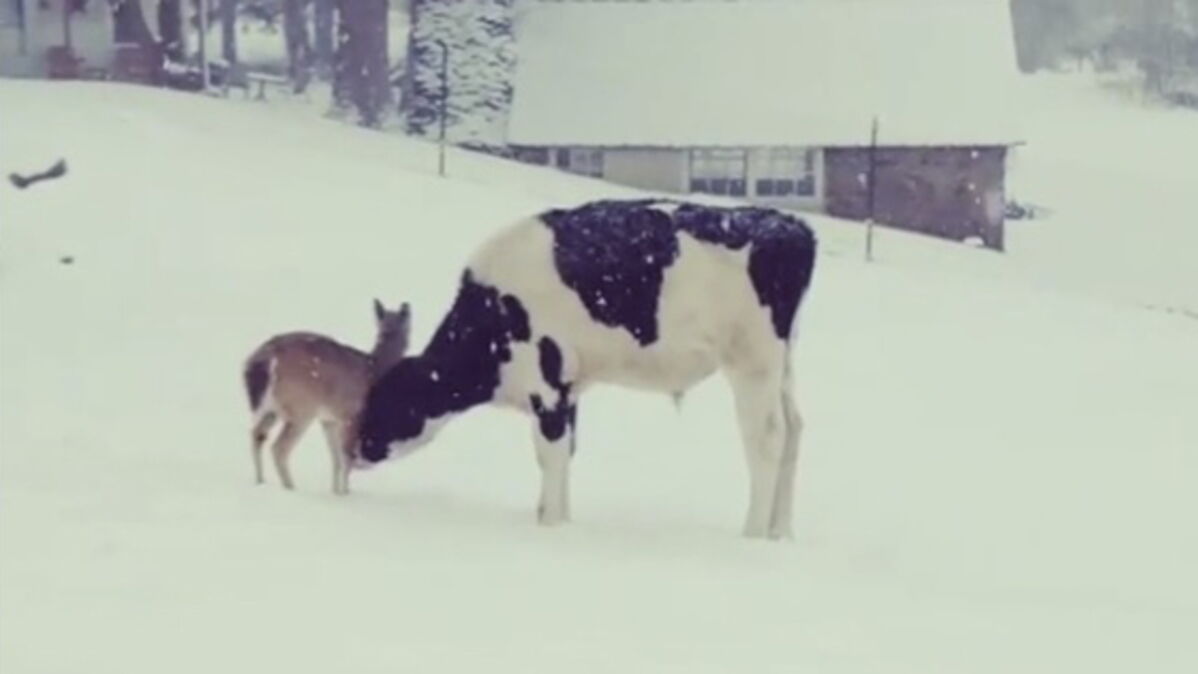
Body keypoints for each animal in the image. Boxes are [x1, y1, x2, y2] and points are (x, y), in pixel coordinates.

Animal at [242, 299, 411, 495]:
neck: (374, 369)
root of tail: (264, 358)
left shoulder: (329, 419)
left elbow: (335, 459)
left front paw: (335, 493)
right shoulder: (352, 415)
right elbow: (346, 459)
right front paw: (346, 493)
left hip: (271, 409)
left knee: (256, 435)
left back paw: (260, 482)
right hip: (301, 407)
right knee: (279, 448)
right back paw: (290, 488)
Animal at [355, 198, 817, 539]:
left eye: (385, 402)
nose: (356, 449)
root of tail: (791, 225)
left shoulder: (546, 382)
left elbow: (551, 453)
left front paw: (549, 524)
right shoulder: (569, 387)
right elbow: (566, 452)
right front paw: (561, 519)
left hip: (753, 362)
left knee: (767, 440)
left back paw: (752, 534)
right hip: (784, 367)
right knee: (795, 430)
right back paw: (781, 532)